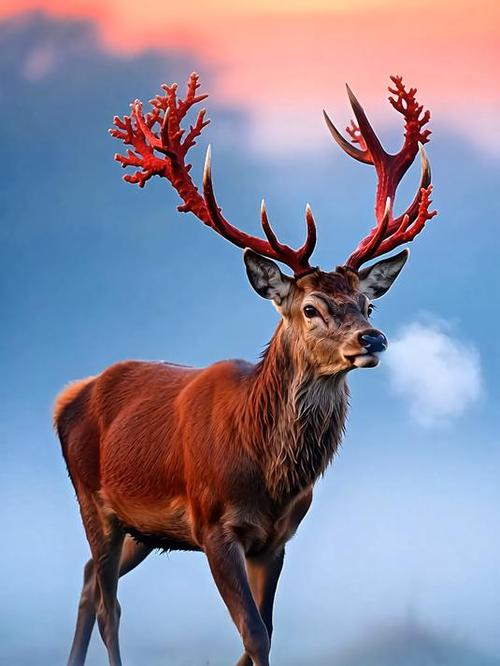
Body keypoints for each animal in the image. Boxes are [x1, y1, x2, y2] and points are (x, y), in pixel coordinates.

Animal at [54, 73, 436, 666]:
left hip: (141, 529)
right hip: (93, 499)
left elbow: (265, 631)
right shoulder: (214, 525)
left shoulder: (277, 539)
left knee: (90, 578)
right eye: (311, 308)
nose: (372, 339)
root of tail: (68, 398)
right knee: (108, 601)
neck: (267, 474)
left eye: (367, 305)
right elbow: (253, 632)